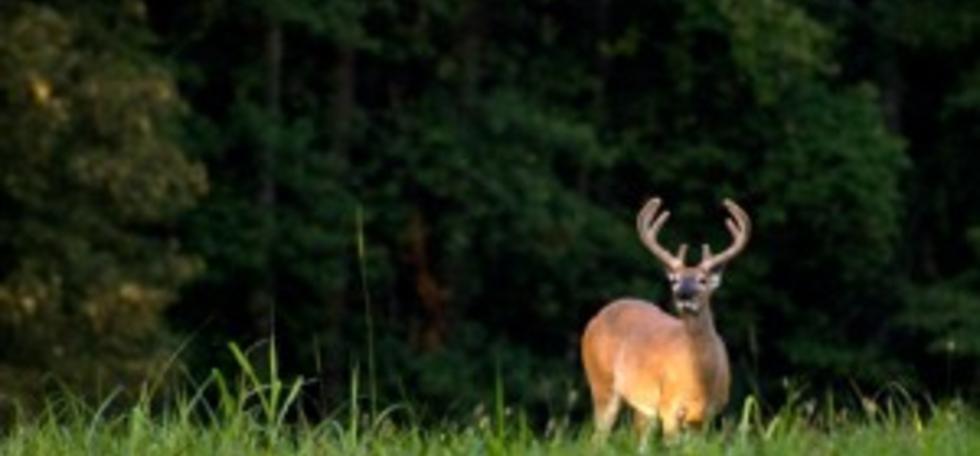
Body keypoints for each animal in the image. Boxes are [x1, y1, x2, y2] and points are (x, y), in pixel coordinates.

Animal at [581, 197, 750, 448]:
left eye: (703, 280)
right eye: (674, 280)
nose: (683, 294)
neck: (700, 382)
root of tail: (598, 316)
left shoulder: (708, 416)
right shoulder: (669, 407)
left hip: (643, 406)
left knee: (638, 440)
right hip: (601, 381)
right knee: (597, 438)